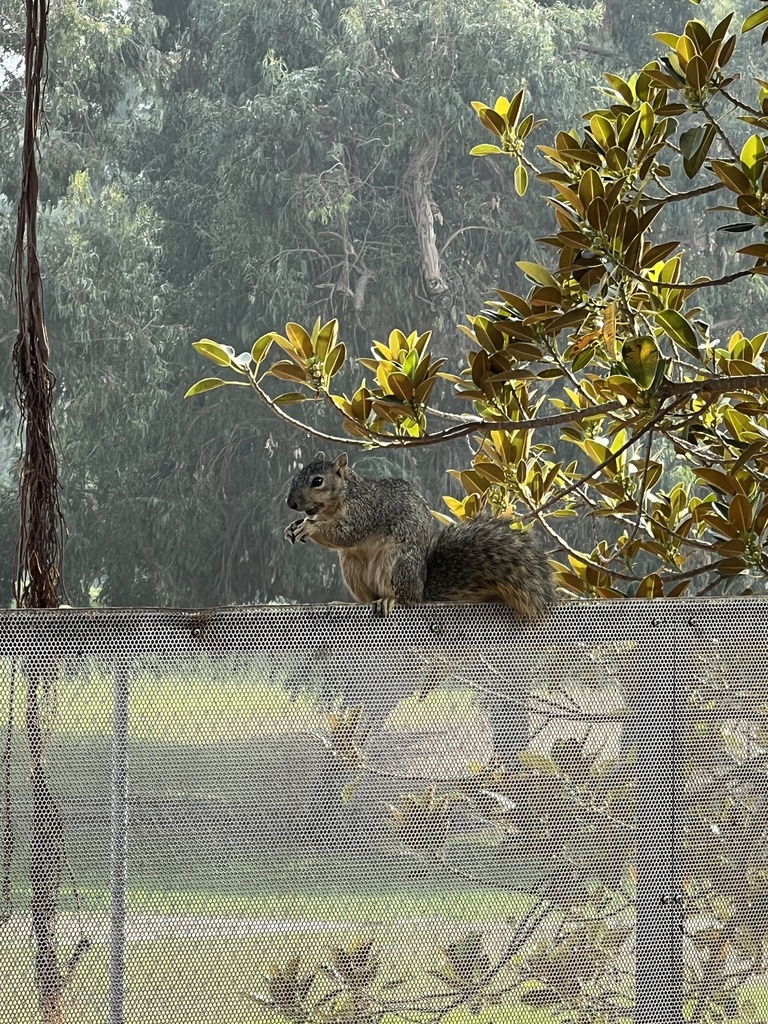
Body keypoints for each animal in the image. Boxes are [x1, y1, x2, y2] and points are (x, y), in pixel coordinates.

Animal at [284, 451, 556, 621]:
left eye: (317, 481)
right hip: (352, 567)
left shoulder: (366, 512)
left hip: (397, 563)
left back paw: (390, 601)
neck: (341, 498)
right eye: (296, 476)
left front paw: (310, 527)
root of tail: (421, 589)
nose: (291, 503)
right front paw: (292, 528)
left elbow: (347, 534)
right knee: (368, 598)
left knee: (406, 600)